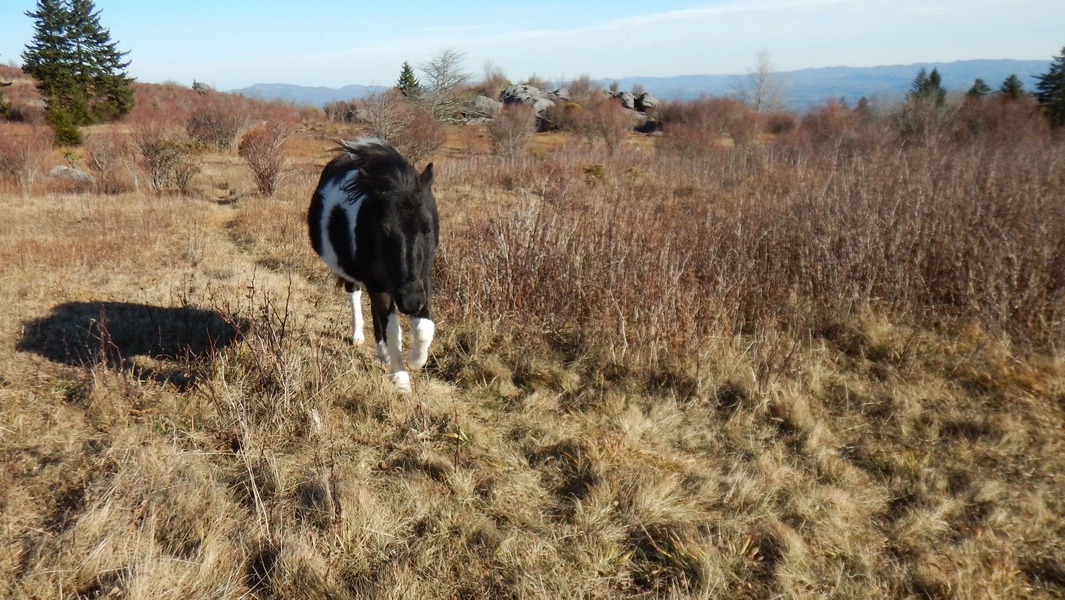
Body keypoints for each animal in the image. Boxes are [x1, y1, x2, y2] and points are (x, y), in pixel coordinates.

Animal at [307, 138, 438, 392]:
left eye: (427, 229)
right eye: (383, 230)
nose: (410, 302)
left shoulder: (423, 278)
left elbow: (424, 327)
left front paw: (416, 360)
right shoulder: (378, 284)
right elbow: (392, 330)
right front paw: (401, 379)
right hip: (359, 278)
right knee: (356, 297)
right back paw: (360, 337)